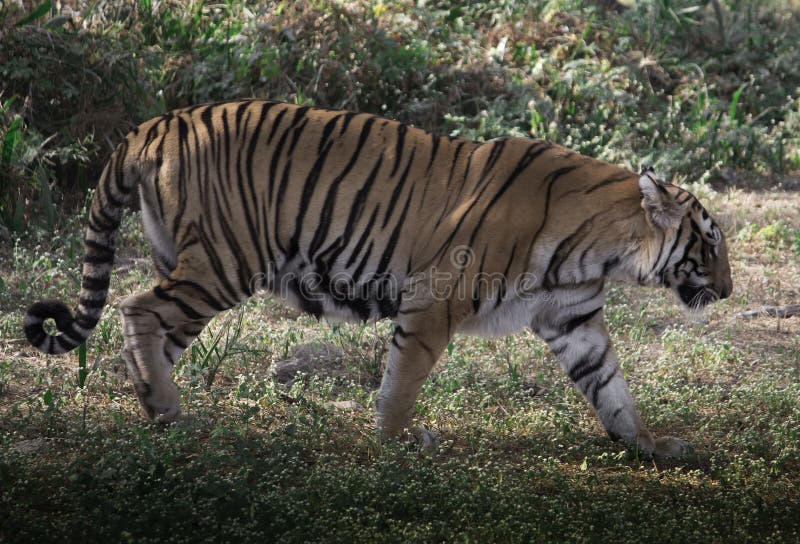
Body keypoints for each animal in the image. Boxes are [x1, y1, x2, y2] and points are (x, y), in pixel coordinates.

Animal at [23, 99, 732, 458]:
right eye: (711, 239)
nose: (727, 292)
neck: (600, 248)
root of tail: (152, 124)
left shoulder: (573, 318)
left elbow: (611, 386)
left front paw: (652, 445)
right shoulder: (434, 301)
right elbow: (404, 377)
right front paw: (394, 441)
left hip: (185, 260)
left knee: (153, 332)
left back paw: (161, 412)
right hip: (222, 262)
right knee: (137, 311)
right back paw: (169, 412)